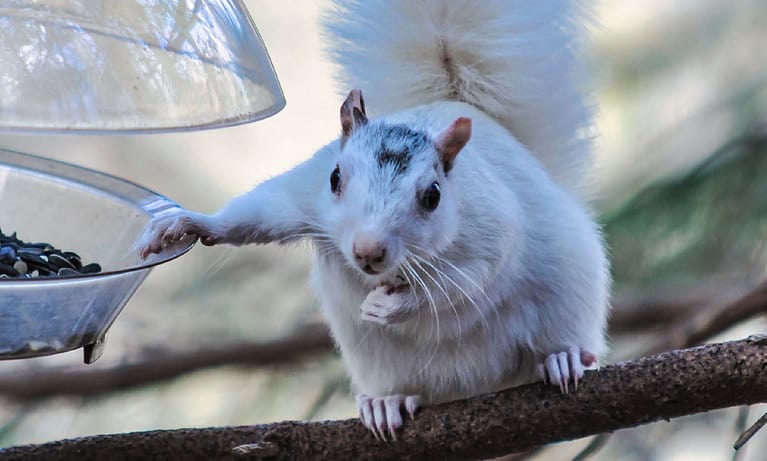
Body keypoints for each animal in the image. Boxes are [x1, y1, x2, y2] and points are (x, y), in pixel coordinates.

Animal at [138, 0, 609, 440]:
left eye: (433, 196)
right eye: (334, 177)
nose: (367, 251)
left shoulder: (491, 227)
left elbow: (466, 281)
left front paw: (390, 305)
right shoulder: (303, 194)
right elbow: (256, 214)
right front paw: (185, 224)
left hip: (565, 301)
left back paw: (562, 358)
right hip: (381, 362)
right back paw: (387, 402)